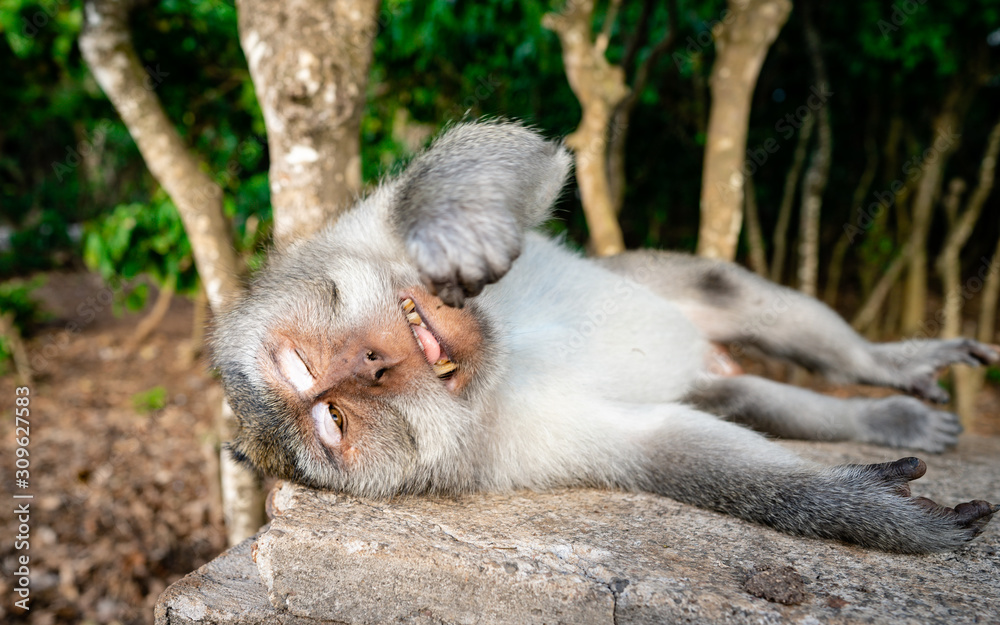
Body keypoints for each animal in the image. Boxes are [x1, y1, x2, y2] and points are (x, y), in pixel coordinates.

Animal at [212, 121, 999, 554]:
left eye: (305, 362)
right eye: (337, 418)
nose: (371, 362)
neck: (502, 355)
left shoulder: (358, 226)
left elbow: (502, 151)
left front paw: (453, 223)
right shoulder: (514, 459)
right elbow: (668, 448)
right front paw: (869, 507)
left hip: (663, 281)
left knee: (731, 290)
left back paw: (890, 369)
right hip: (709, 375)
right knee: (745, 400)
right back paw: (884, 417)